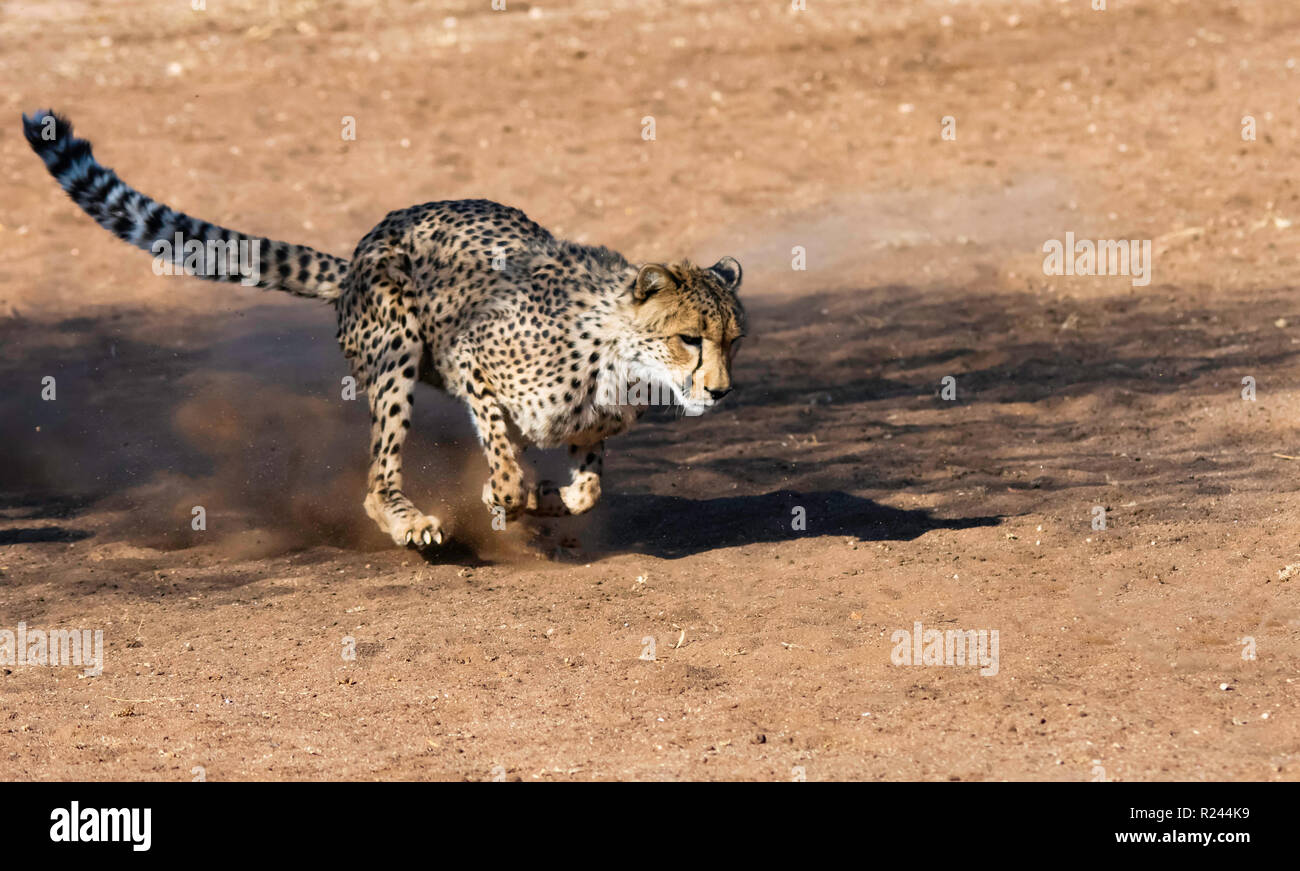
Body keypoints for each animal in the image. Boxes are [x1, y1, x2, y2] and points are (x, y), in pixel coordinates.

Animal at [23, 111, 746, 549]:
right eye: (689, 338)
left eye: (732, 341)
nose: (720, 391)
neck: (620, 360)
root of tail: (358, 253)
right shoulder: (470, 356)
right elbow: (504, 453)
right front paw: (506, 493)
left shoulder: (590, 425)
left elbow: (589, 490)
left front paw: (549, 495)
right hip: (397, 346)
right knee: (375, 481)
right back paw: (410, 522)